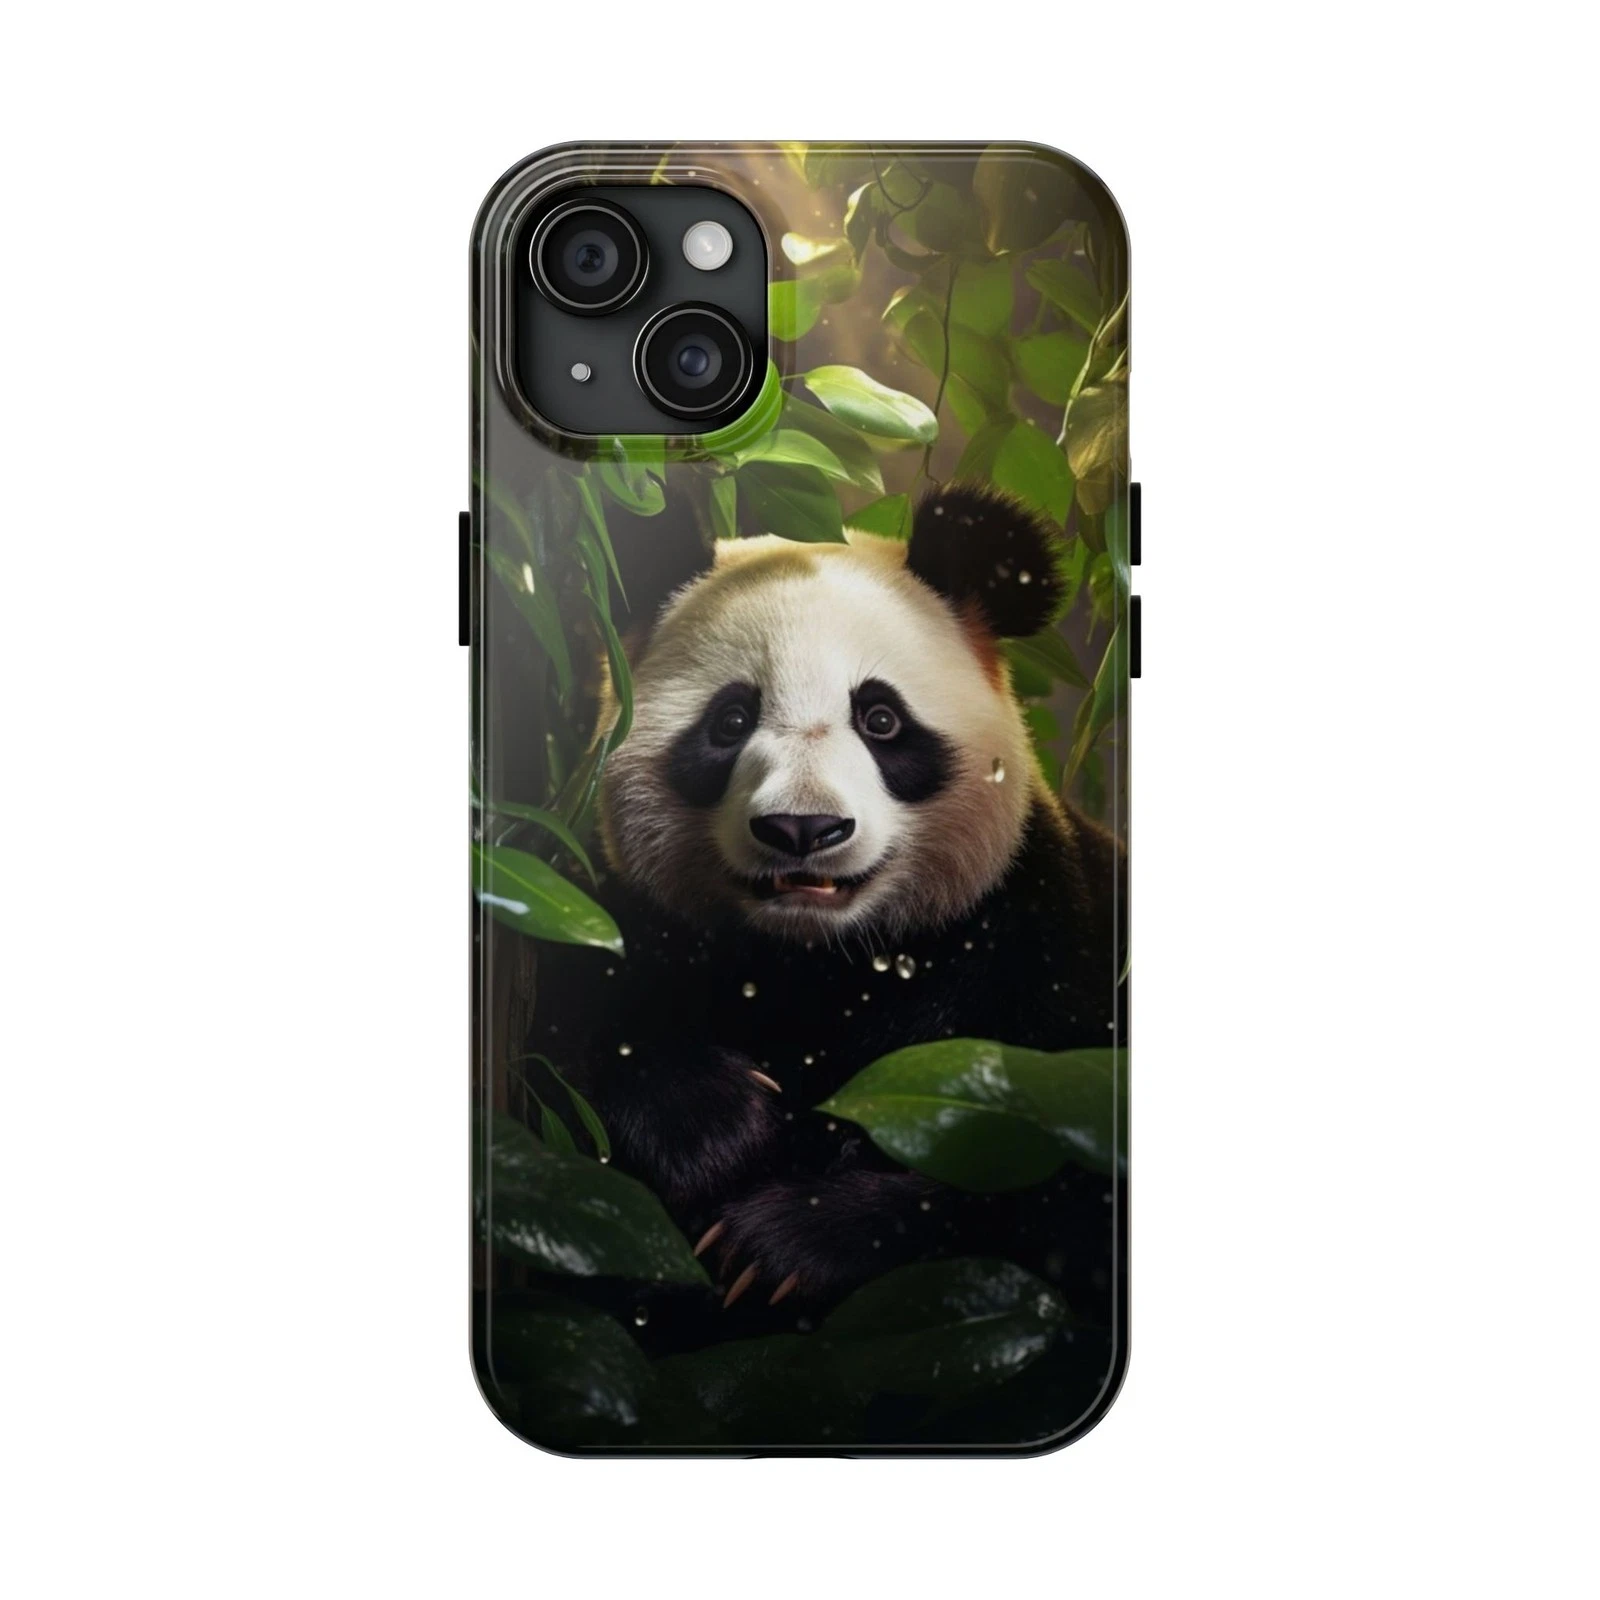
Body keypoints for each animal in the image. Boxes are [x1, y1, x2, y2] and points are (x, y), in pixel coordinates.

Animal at [526, 483, 1126, 1344]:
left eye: (880, 720)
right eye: (731, 720)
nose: (802, 829)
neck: (812, 959)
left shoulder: (1039, 941)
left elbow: (1051, 1186)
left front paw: (783, 1244)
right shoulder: (597, 903)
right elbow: (563, 1051)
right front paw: (718, 1126)